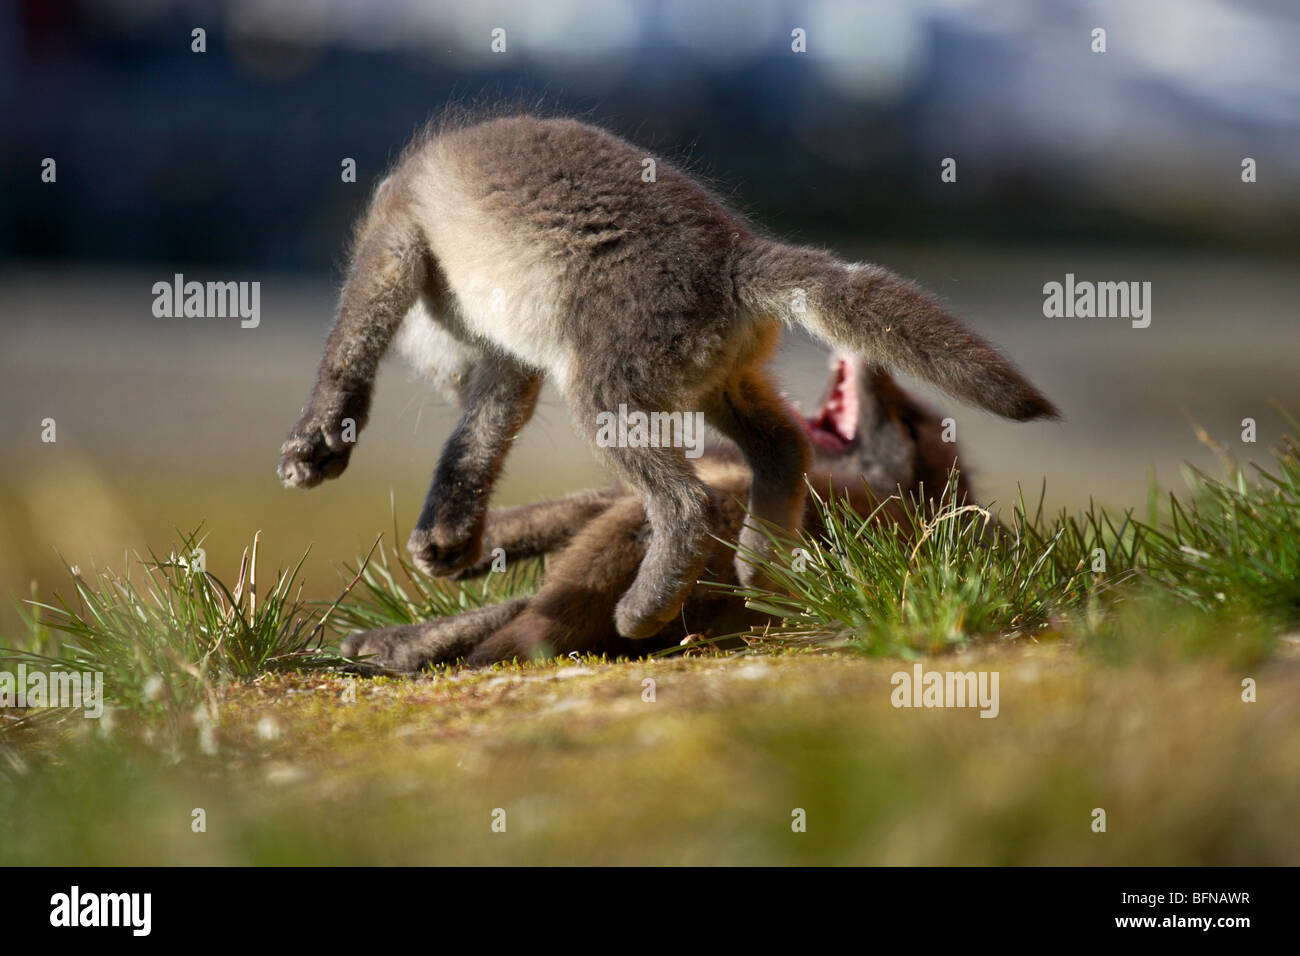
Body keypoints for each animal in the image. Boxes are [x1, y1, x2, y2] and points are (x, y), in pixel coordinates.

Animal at [340, 353, 981, 672]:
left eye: (909, 423)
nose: (884, 359)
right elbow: (534, 521)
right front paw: (464, 549)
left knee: (525, 618)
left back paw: (391, 649)